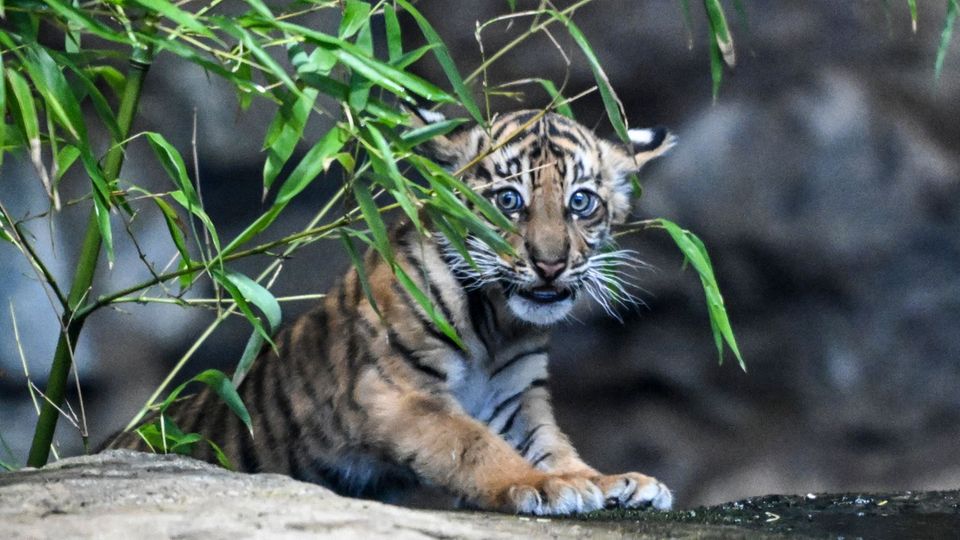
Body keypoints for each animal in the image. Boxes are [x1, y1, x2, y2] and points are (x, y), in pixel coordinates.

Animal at [106, 108, 677, 515]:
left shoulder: (517, 399)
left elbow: (552, 445)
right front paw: (542, 485)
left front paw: (609, 481)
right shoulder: (394, 391)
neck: (496, 325)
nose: (551, 264)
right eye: (508, 200)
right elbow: (474, 445)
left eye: (581, 203)